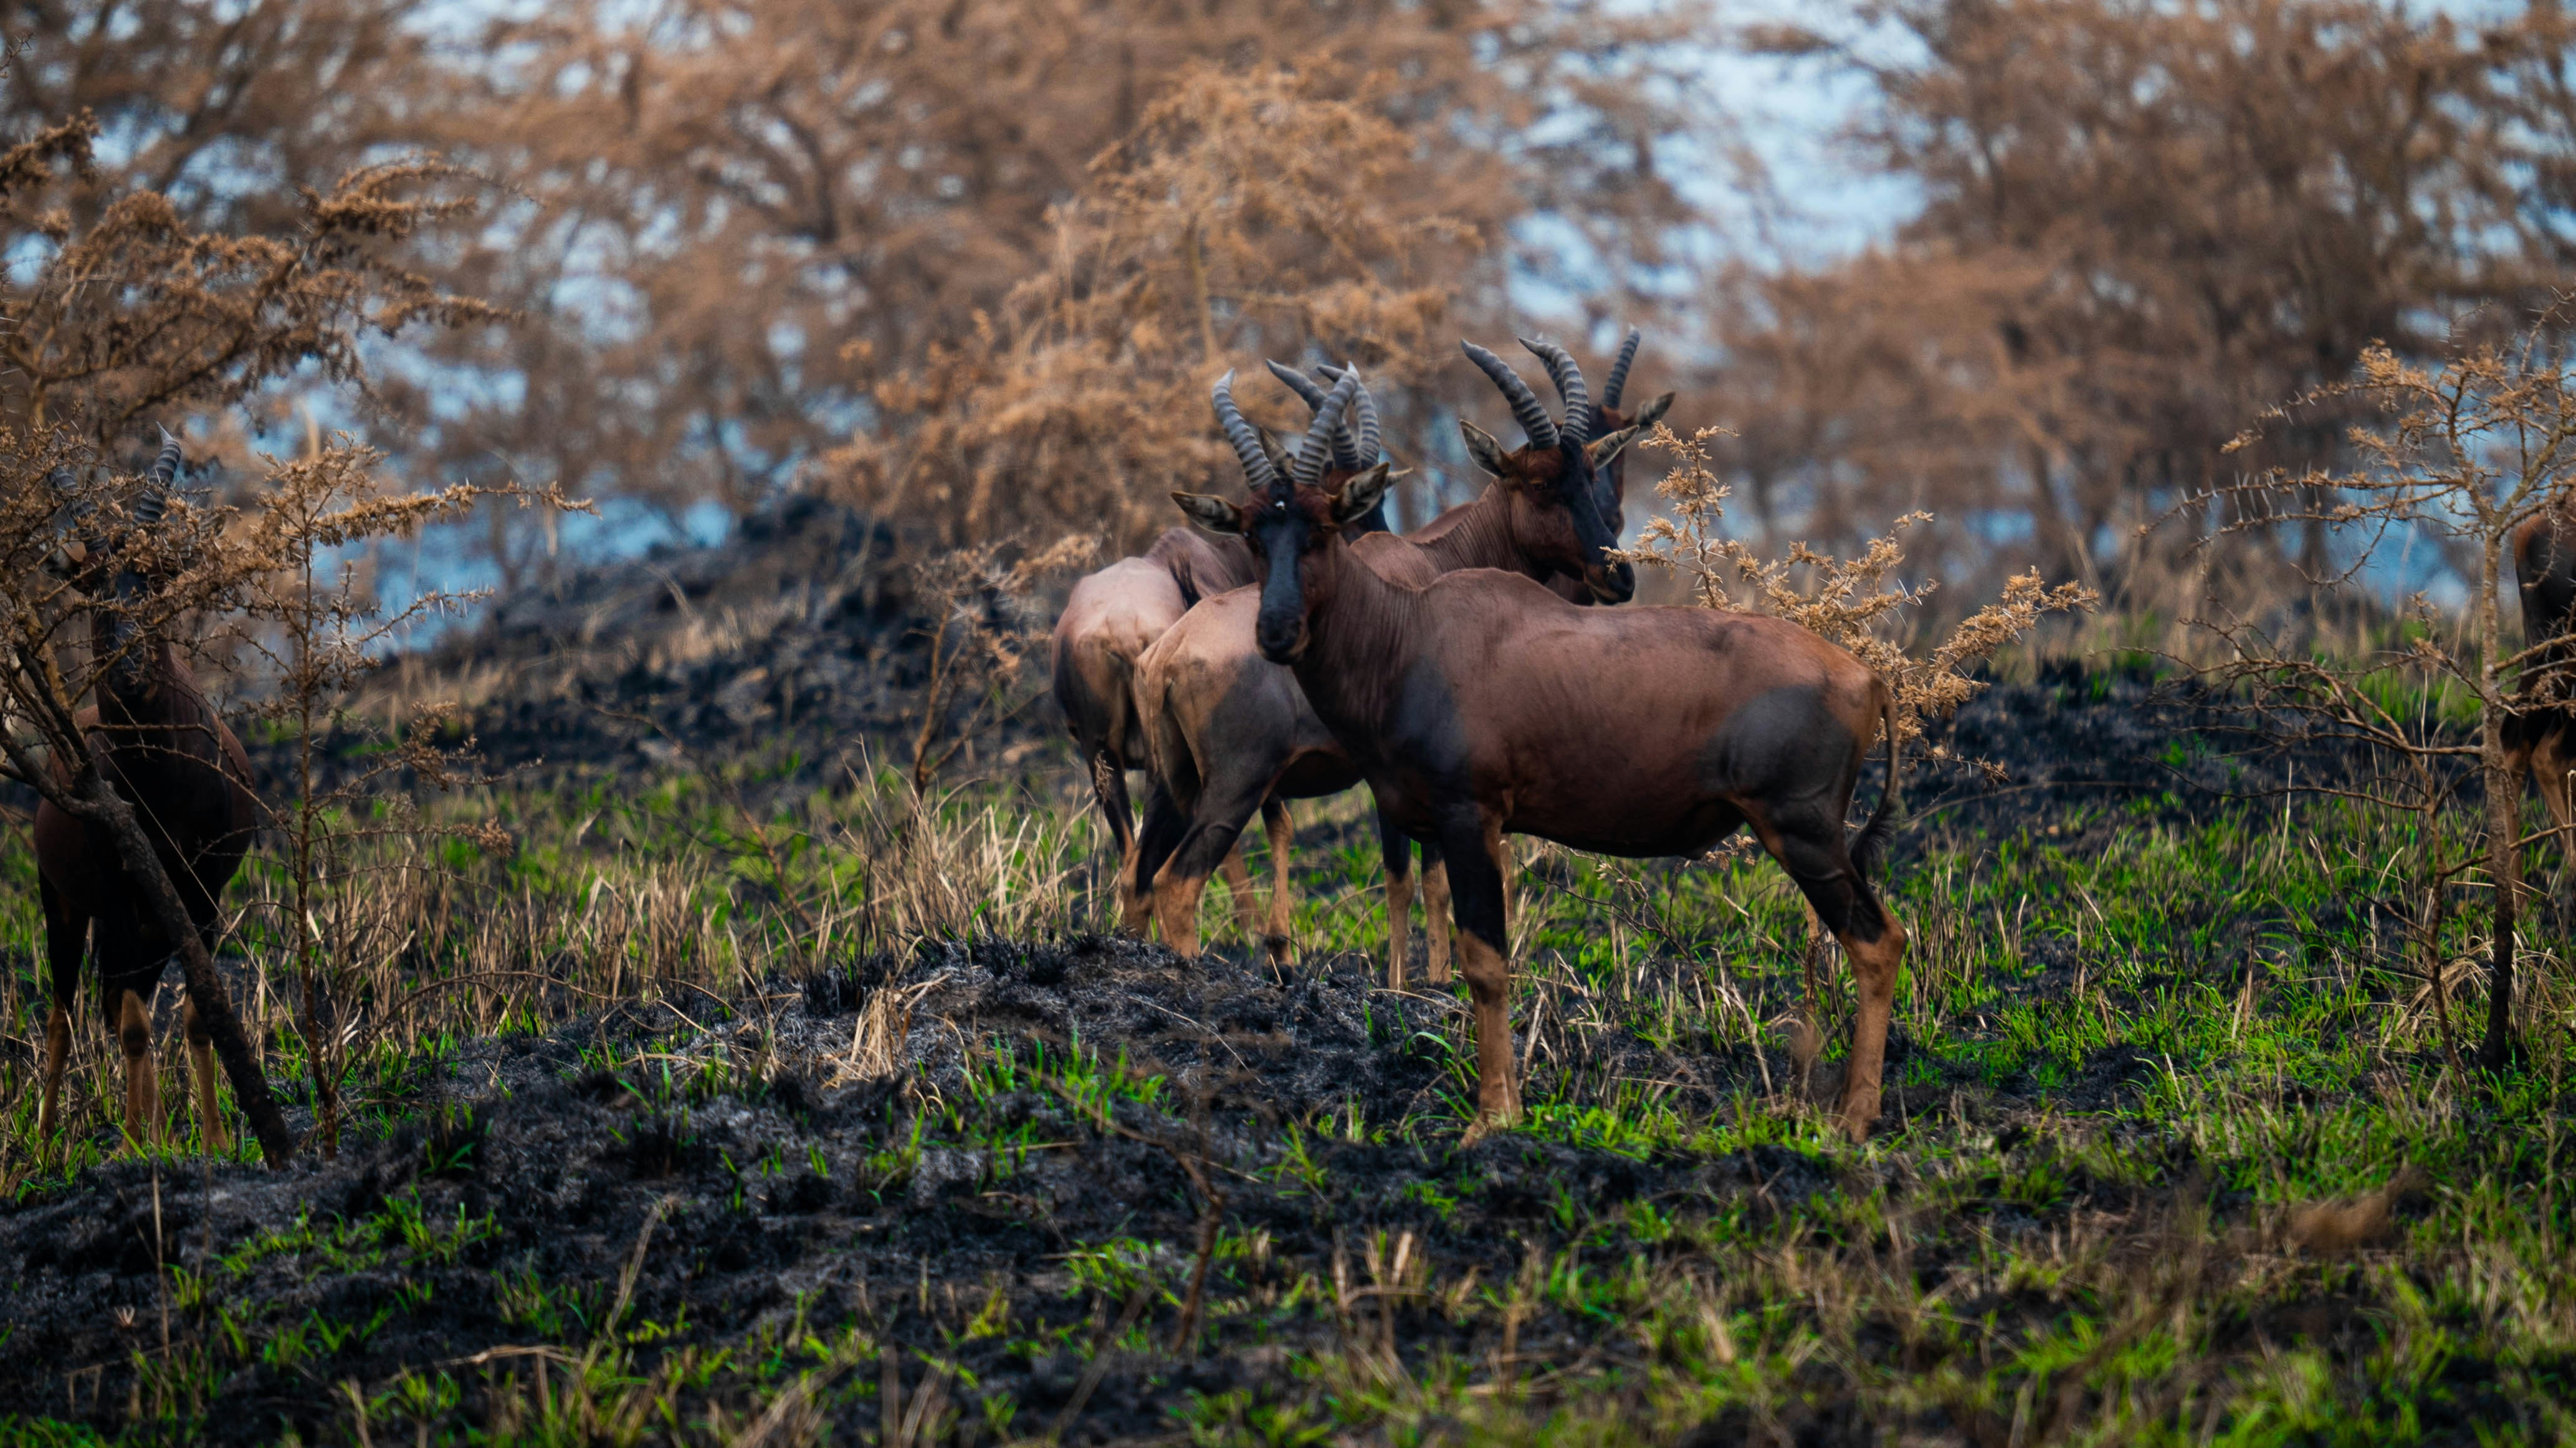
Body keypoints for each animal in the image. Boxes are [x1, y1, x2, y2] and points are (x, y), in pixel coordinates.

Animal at [34, 437, 262, 1156]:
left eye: (154, 578)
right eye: (93, 584)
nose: (128, 672)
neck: (161, 783)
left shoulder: (204, 892)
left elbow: (199, 1015)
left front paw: (212, 1143)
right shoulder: (115, 891)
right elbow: (132, 1024)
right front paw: (136, 1147)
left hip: (154, 920)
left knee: (120, 999)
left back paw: (155, 1128)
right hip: (68, 904)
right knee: (70, 1014)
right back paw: (44, 1151)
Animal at [1133, 334, 1670, 983]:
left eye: (1590, 471)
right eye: (1541, 484)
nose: (1617, 575)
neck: (1430, 565)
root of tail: (1169, 652)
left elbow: (1408, 878)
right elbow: (1425, 879)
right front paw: (1430, 984)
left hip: (1170, 785)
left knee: (1137, 880)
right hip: (1237, 785)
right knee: (1176, 884)